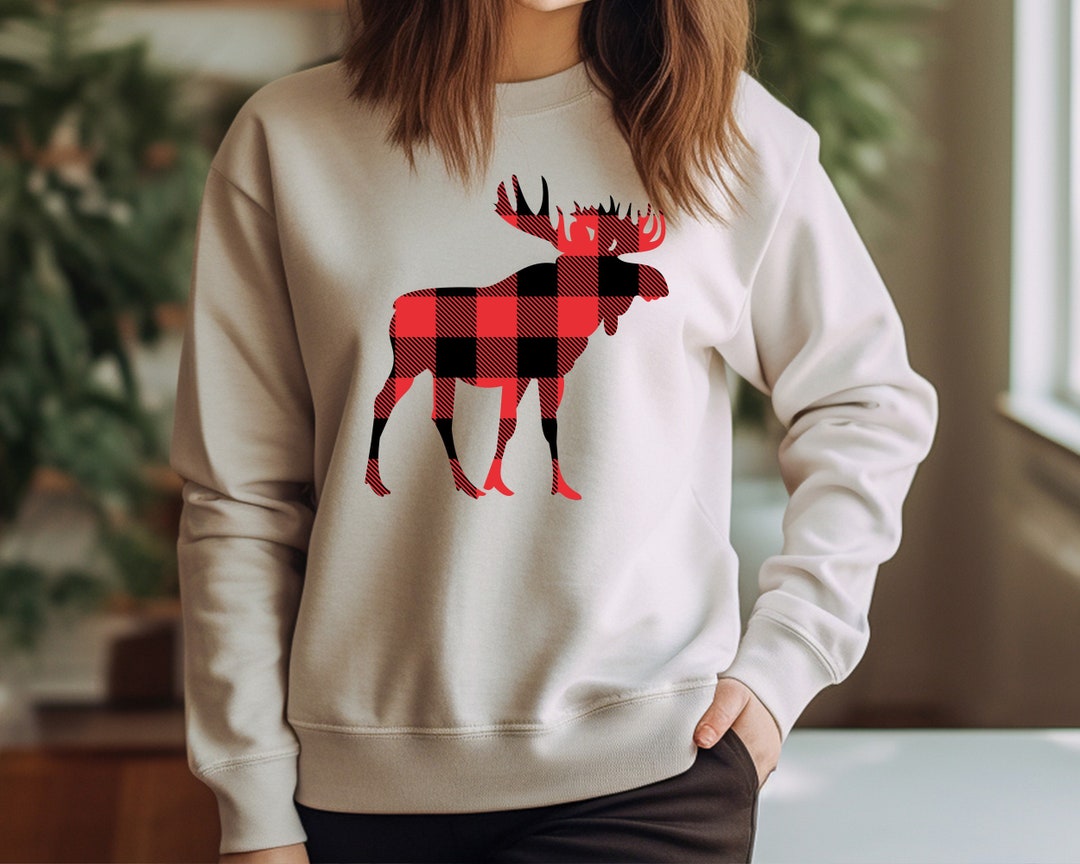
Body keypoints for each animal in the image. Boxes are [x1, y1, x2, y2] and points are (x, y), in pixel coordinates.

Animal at [364, 175, 668, 500]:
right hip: (408, 363)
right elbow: (523, 424)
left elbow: (530, 426)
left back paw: (463, 482)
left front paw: (545, 485)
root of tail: (395, 306)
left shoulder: (546, 375)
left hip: (440, 373)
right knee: (383, 402)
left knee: (440, 418)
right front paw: (503, 482)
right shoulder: (525, 373)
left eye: (620, 259)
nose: (659, 281)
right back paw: (377, 480)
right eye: (604, 268)